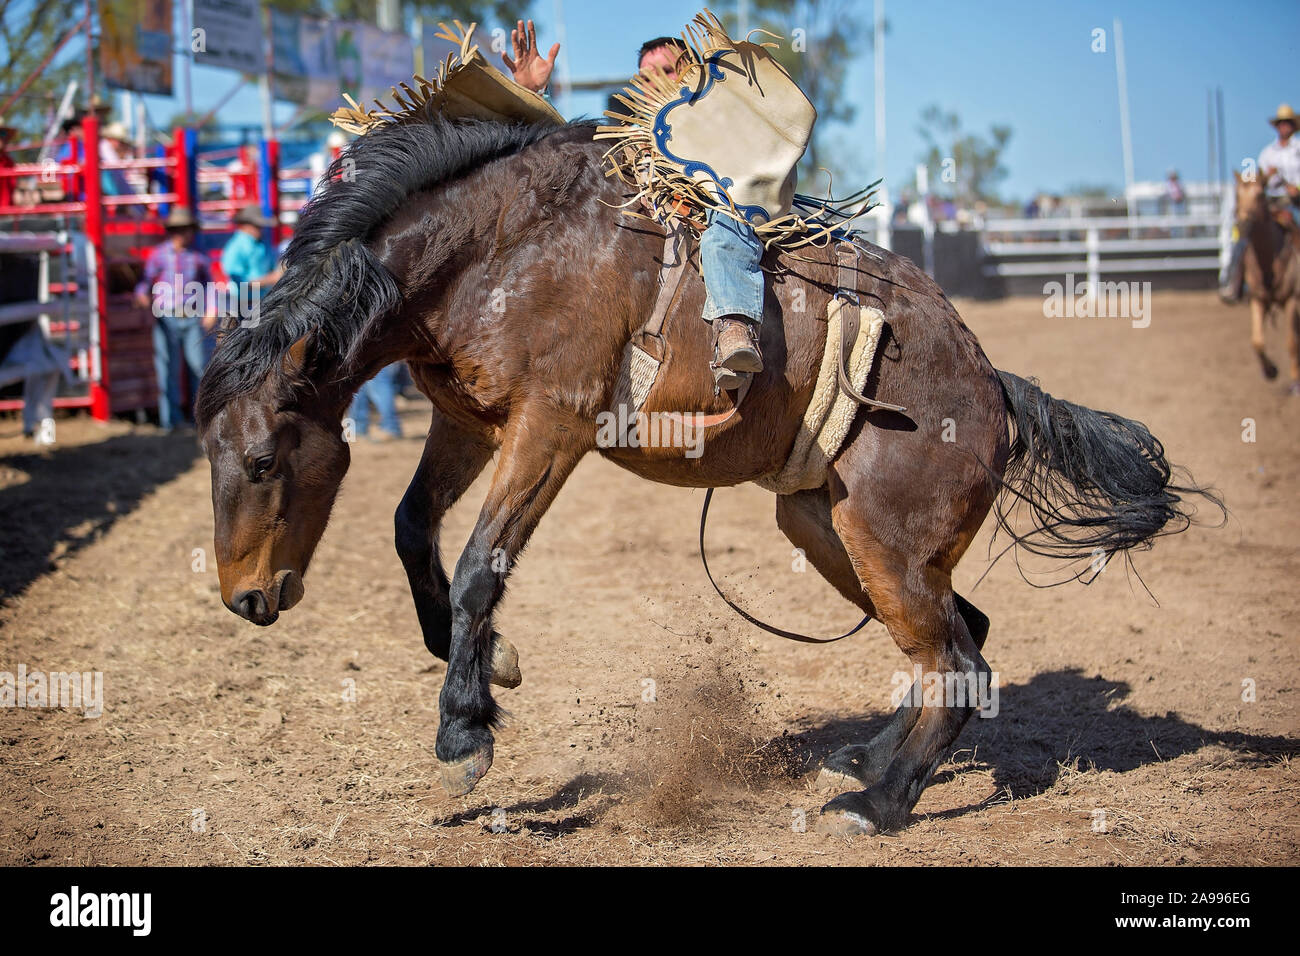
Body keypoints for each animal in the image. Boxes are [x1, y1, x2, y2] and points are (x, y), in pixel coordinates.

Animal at [196, 118, 1220, 836]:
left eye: (262, 459)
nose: (244, 597)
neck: (500, 245)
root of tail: (997, 387)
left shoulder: (552, 424)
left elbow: (485, 561)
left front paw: (463, 733)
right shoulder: (468, 420)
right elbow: (414, 528)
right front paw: (491, 667)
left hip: (881, 542)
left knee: (962, 662)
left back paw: (877, 806)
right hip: (829, 531)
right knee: (958, 639)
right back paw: (864, 762)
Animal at [1234, 170, 1300, 392]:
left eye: (1261, 194)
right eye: (1237, 195)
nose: (1244, 223)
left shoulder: (1291, 300)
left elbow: (1291, 342)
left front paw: (1295, 381)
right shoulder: (1258, 299)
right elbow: (1257, 341)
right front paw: (1270, 371)